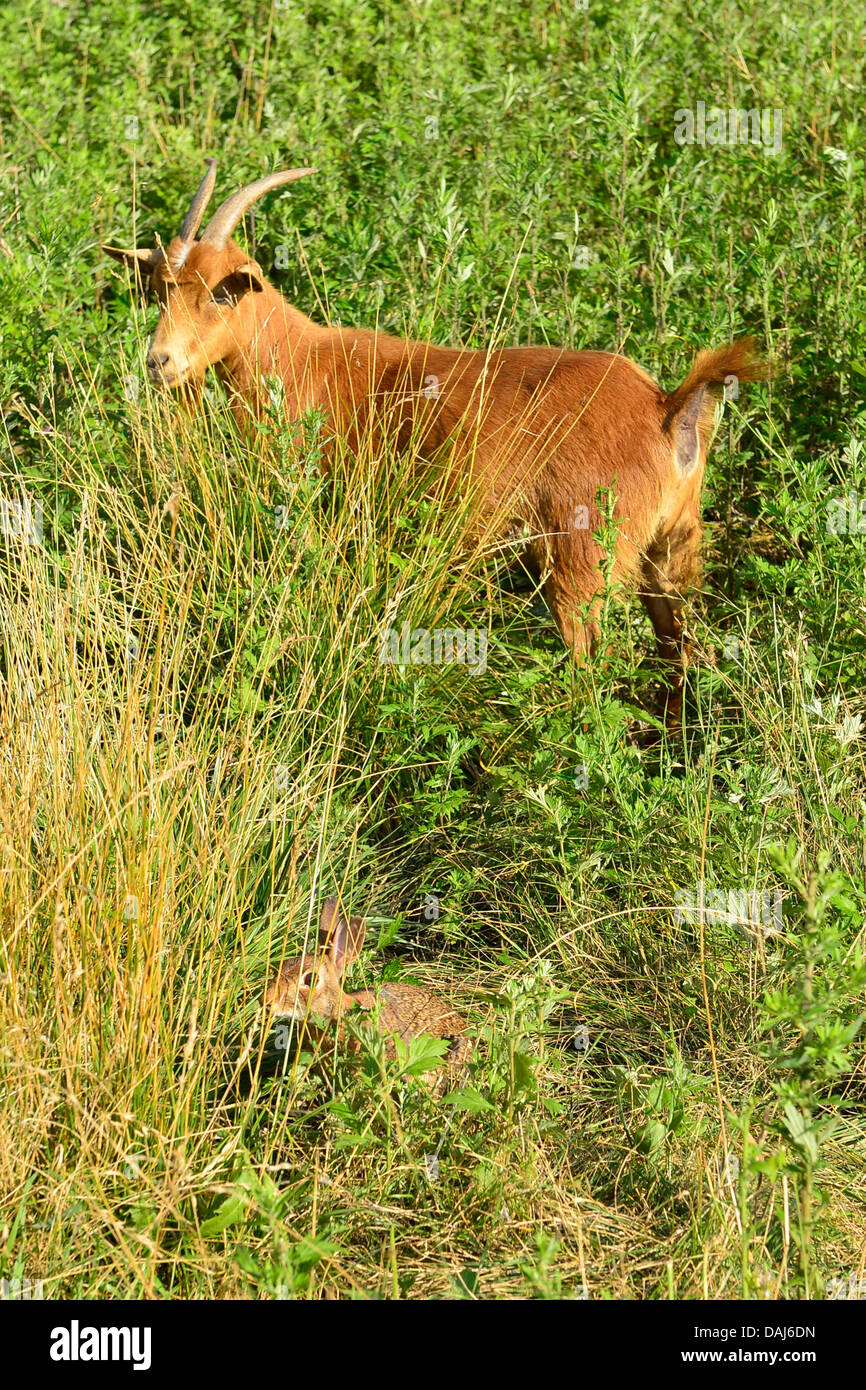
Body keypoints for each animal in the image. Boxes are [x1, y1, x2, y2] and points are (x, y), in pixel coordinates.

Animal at [105, 160, 767, 711]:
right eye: (159, 290)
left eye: (221, 292)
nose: (159, 362)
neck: (303, 362)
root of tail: (666, 409)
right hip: (672, 549)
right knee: (681, 649)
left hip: (584, 556)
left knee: (591, 662)